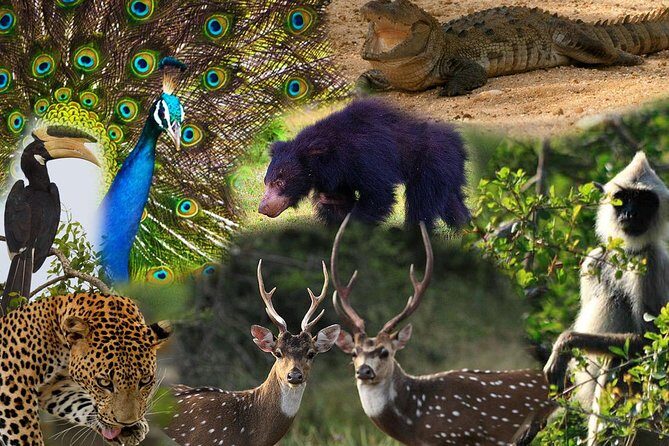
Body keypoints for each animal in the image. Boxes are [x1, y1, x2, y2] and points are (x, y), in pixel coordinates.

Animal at [0, 292, 171, 445]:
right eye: (104, 383)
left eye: (145, 381)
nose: (127, 423)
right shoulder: (13, 384)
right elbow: (25, 433)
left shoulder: (53, 386)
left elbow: (78, 403)